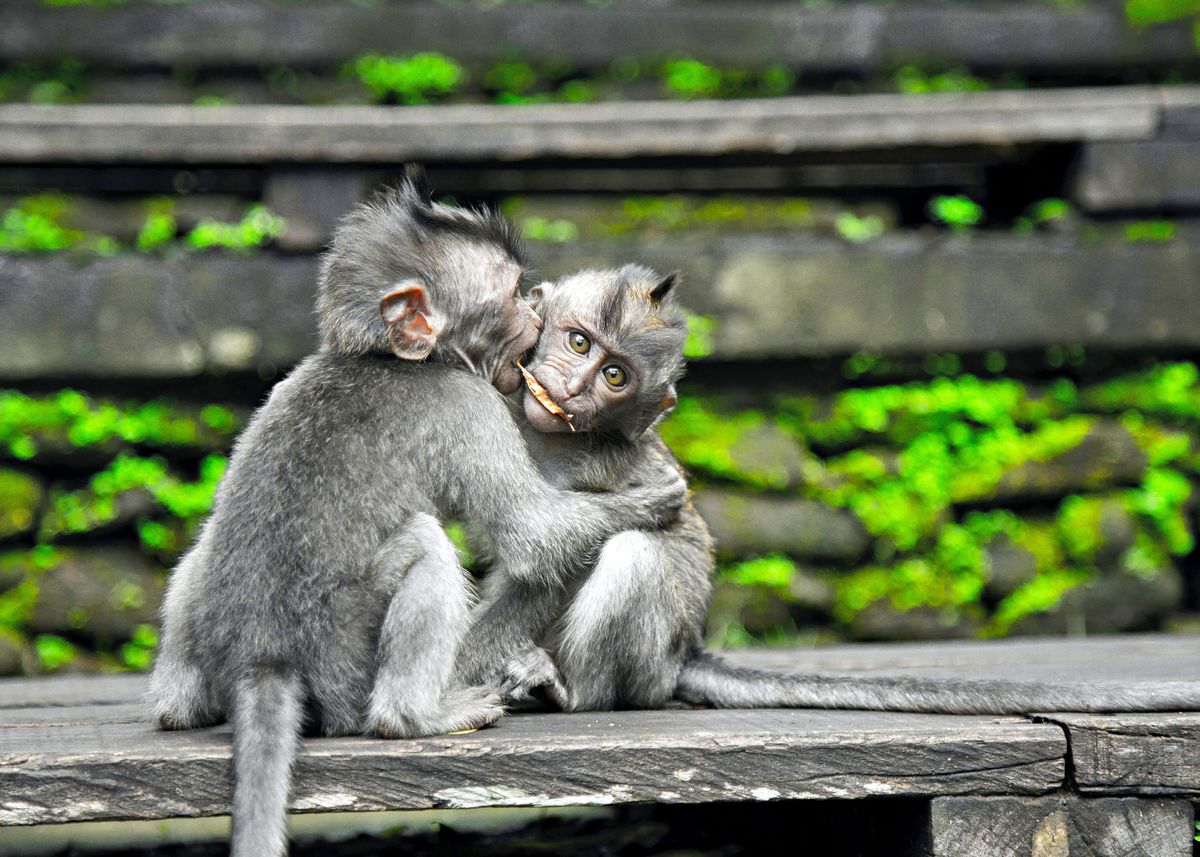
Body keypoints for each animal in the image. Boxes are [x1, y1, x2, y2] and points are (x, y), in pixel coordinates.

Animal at [146, 174, 687, 857]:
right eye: (512, 294)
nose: (537, 308)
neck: (385, 357)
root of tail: (263, 658)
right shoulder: (468, 403)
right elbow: (535, 536)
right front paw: (655, 497)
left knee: (204, 549)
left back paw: (179, 707)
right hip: (346, 664)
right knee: (425, 548)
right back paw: (420, 715)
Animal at [457, 264, 1200, 716]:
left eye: (615, 376)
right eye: (579, 342)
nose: (574, 387)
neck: (556, 439)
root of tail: (685, 651)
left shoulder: (607, 464)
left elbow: (558, 556)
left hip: (649, 661)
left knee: (635, 552)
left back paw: (571, 691)